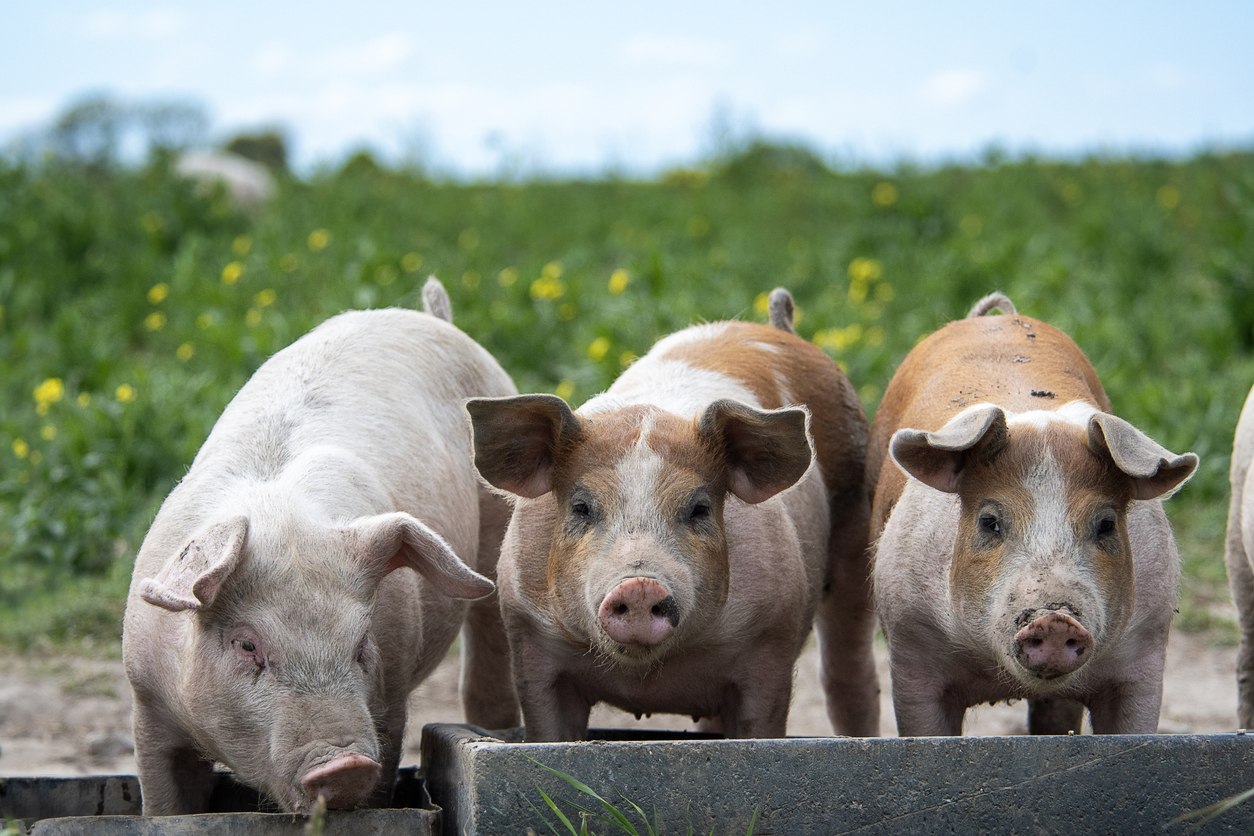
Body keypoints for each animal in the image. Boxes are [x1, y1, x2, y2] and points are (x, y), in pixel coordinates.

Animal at [121, 278, 520, 815]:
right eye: (247, 644)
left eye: (362, 642)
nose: (343, 765)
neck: (283, 522)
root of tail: (433, 318)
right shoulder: (147, 702)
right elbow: (166, 804)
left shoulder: (391, 700)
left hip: (498, 525)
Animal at [466, 288, 879, 742]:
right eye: (581, 507)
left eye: (699, 509)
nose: (639, 586)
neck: (647, 678)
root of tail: (777, 327)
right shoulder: (530, 638)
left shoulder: (771, 642)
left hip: (855, 541)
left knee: (849, 676)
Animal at [868, 292, 1198, 736]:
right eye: (989, 522)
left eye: (1106, 524)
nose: (1055, 621)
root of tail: (992, 319)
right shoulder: (912, 648)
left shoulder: (1145, 650)